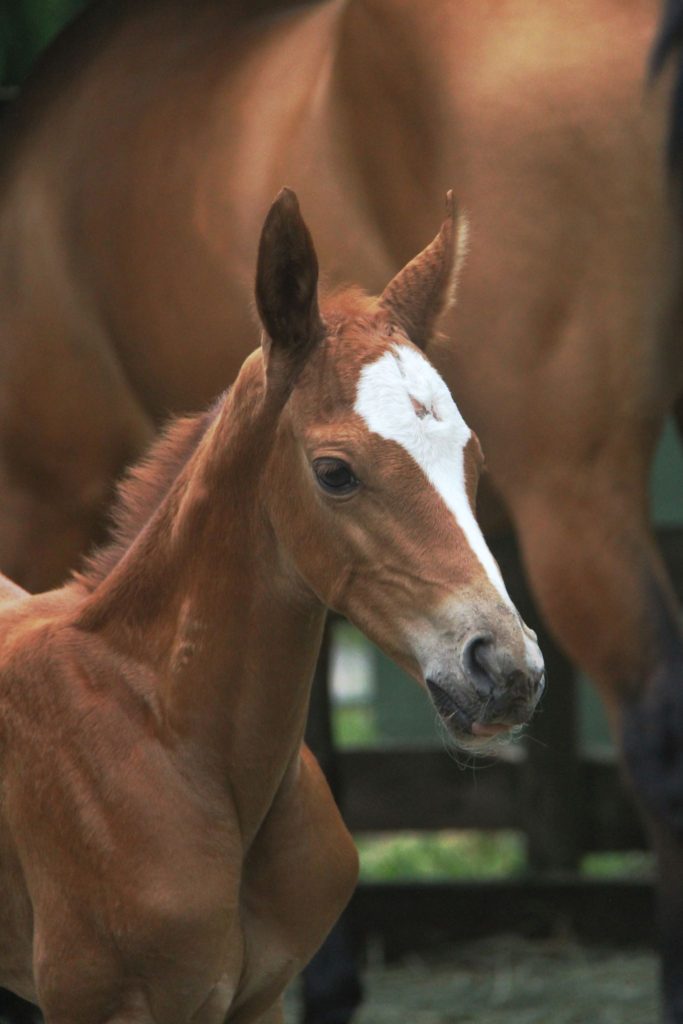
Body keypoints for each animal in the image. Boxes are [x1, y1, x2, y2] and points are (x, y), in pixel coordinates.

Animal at [0, 188, 545, 1024]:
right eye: (335, 471)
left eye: (472, 458)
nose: (505, 668)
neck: (161, 727)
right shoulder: (102, 1002)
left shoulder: (262, 997)